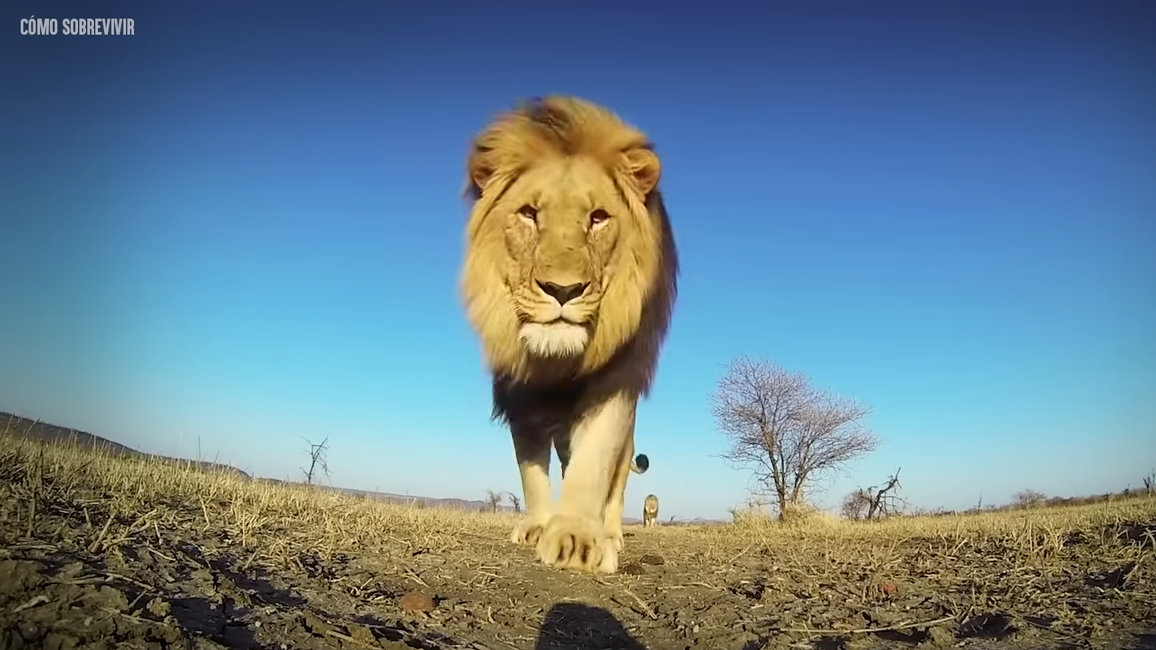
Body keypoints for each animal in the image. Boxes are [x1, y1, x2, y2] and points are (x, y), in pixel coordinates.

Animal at [459, 96, 679, 574]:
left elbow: (593, 464)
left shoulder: (615, 384)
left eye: (598, 218)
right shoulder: (519, 397)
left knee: (616, 484)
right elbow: (531, 470)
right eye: (528, 213)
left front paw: (579, 538)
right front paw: (540, 525)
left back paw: (611, 531)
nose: (563, 290)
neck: (556, 364)